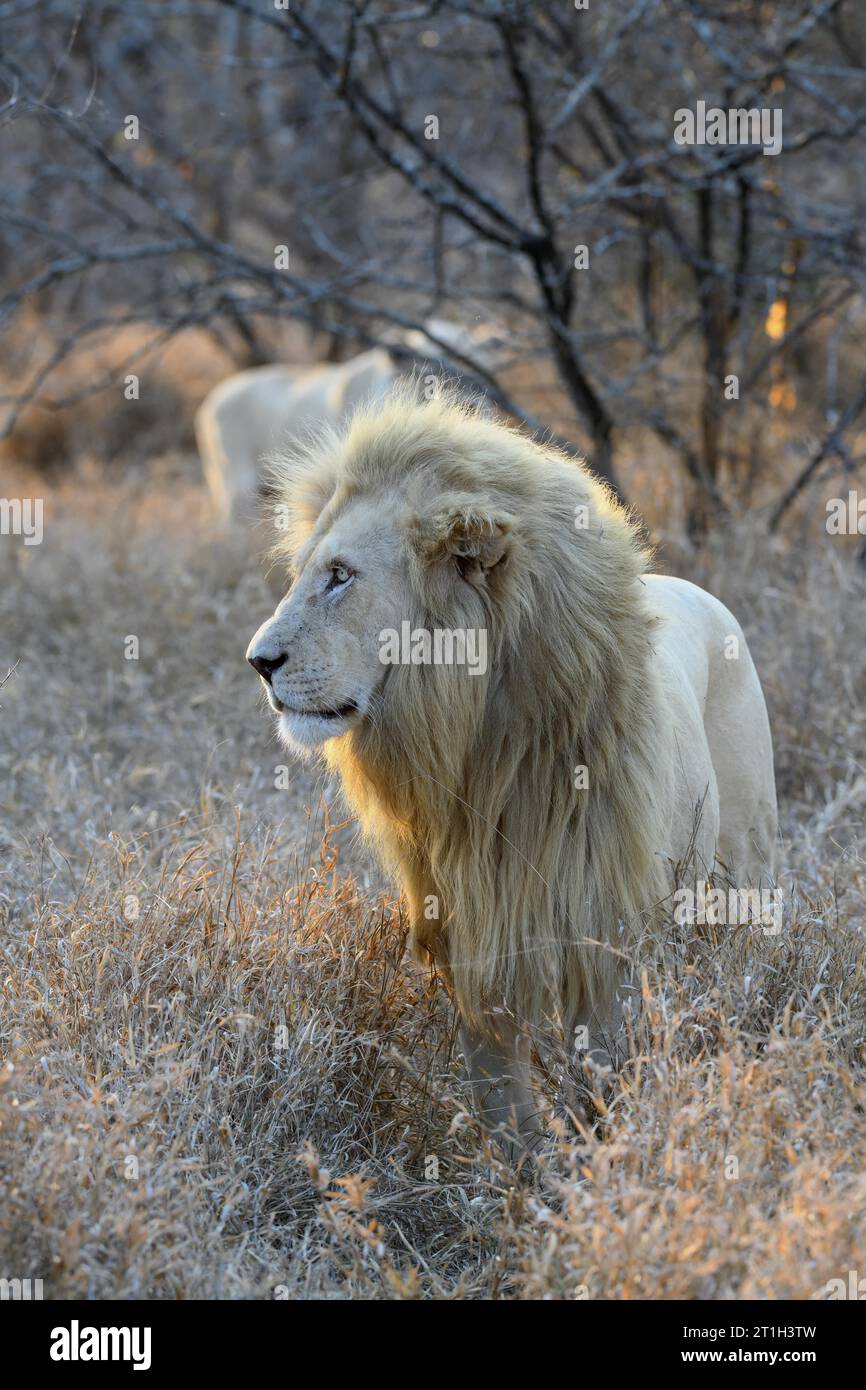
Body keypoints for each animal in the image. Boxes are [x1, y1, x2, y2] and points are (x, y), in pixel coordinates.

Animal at [245, 387, 778, 1156]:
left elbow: (606, 1072)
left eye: (340, 576)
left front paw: (608, 1158)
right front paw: (519, 1176)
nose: (258, 662)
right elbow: (500, 1093)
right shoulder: (466, 927)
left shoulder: (603, 925)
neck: (482, 753)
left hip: (745, 870)